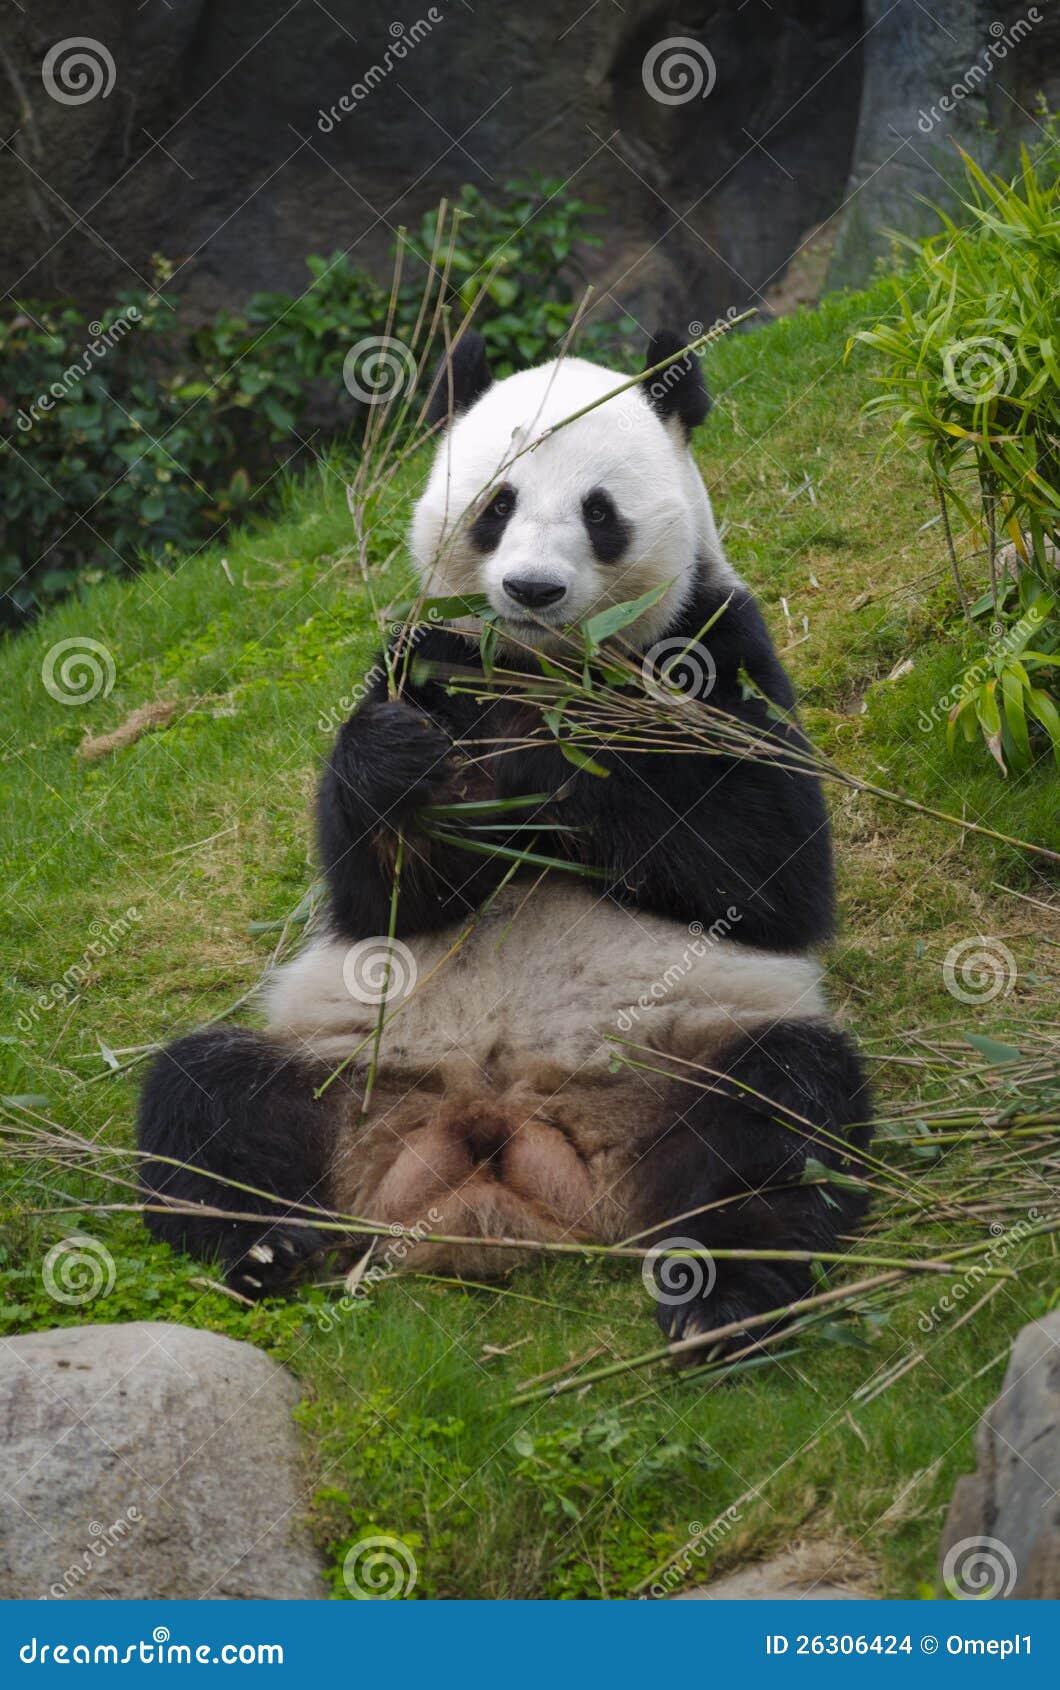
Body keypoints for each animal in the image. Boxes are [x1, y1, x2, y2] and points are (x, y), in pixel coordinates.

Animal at [137, 328, 872, 1350]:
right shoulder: (423, 658)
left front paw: (543, 762)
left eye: (600, 513)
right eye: (498, 506)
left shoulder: (715, 648)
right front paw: (411, 765)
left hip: (687, 1047)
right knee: (204, 1097)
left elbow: (767, 868)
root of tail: (497, 1148)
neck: (538, 667)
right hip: (340, 1072)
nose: (532, 589)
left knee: (781, 1119)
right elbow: (379, 896)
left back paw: (721, 1299)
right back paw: (271, 1245)